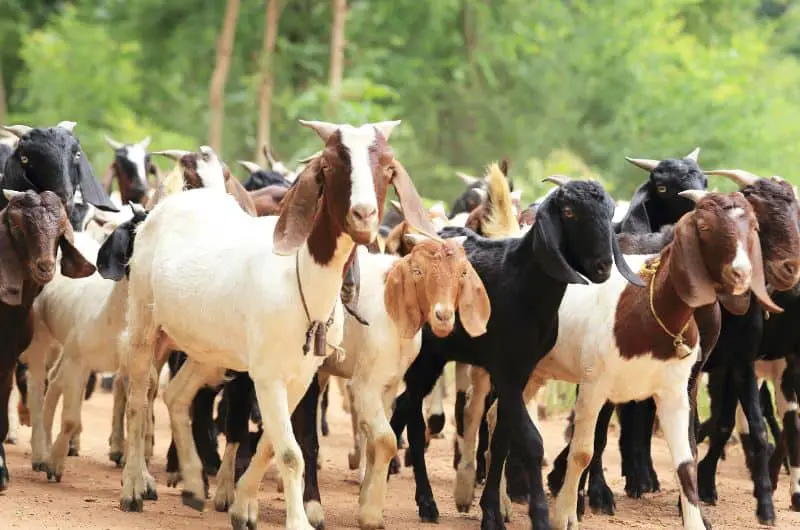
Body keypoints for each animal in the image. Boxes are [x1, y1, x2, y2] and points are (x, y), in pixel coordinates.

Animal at [107, 120, 432, 530]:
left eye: (388, 168)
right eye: (329, 164)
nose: (363, 215)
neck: (300, 277)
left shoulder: (301, 376)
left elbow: (269, 444)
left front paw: (242, 506)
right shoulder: (267, 375)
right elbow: (290, 452)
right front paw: (297, 521)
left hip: (208, 349)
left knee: (177, 395)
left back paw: (194, 484)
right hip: (144, 320)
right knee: (138, 396)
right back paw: (134, 485)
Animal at [389, 176, 644, 529]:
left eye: (608, 211)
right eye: (569, 212)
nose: (603, 266)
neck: (523, 284)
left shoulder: (522, 371)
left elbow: (502, 440)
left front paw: (492, 512)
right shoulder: (505, 370)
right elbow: (531, 442)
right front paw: (539, 515)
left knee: (404, 405)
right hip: (426, 357)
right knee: (413, 416)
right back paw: (426, 502)